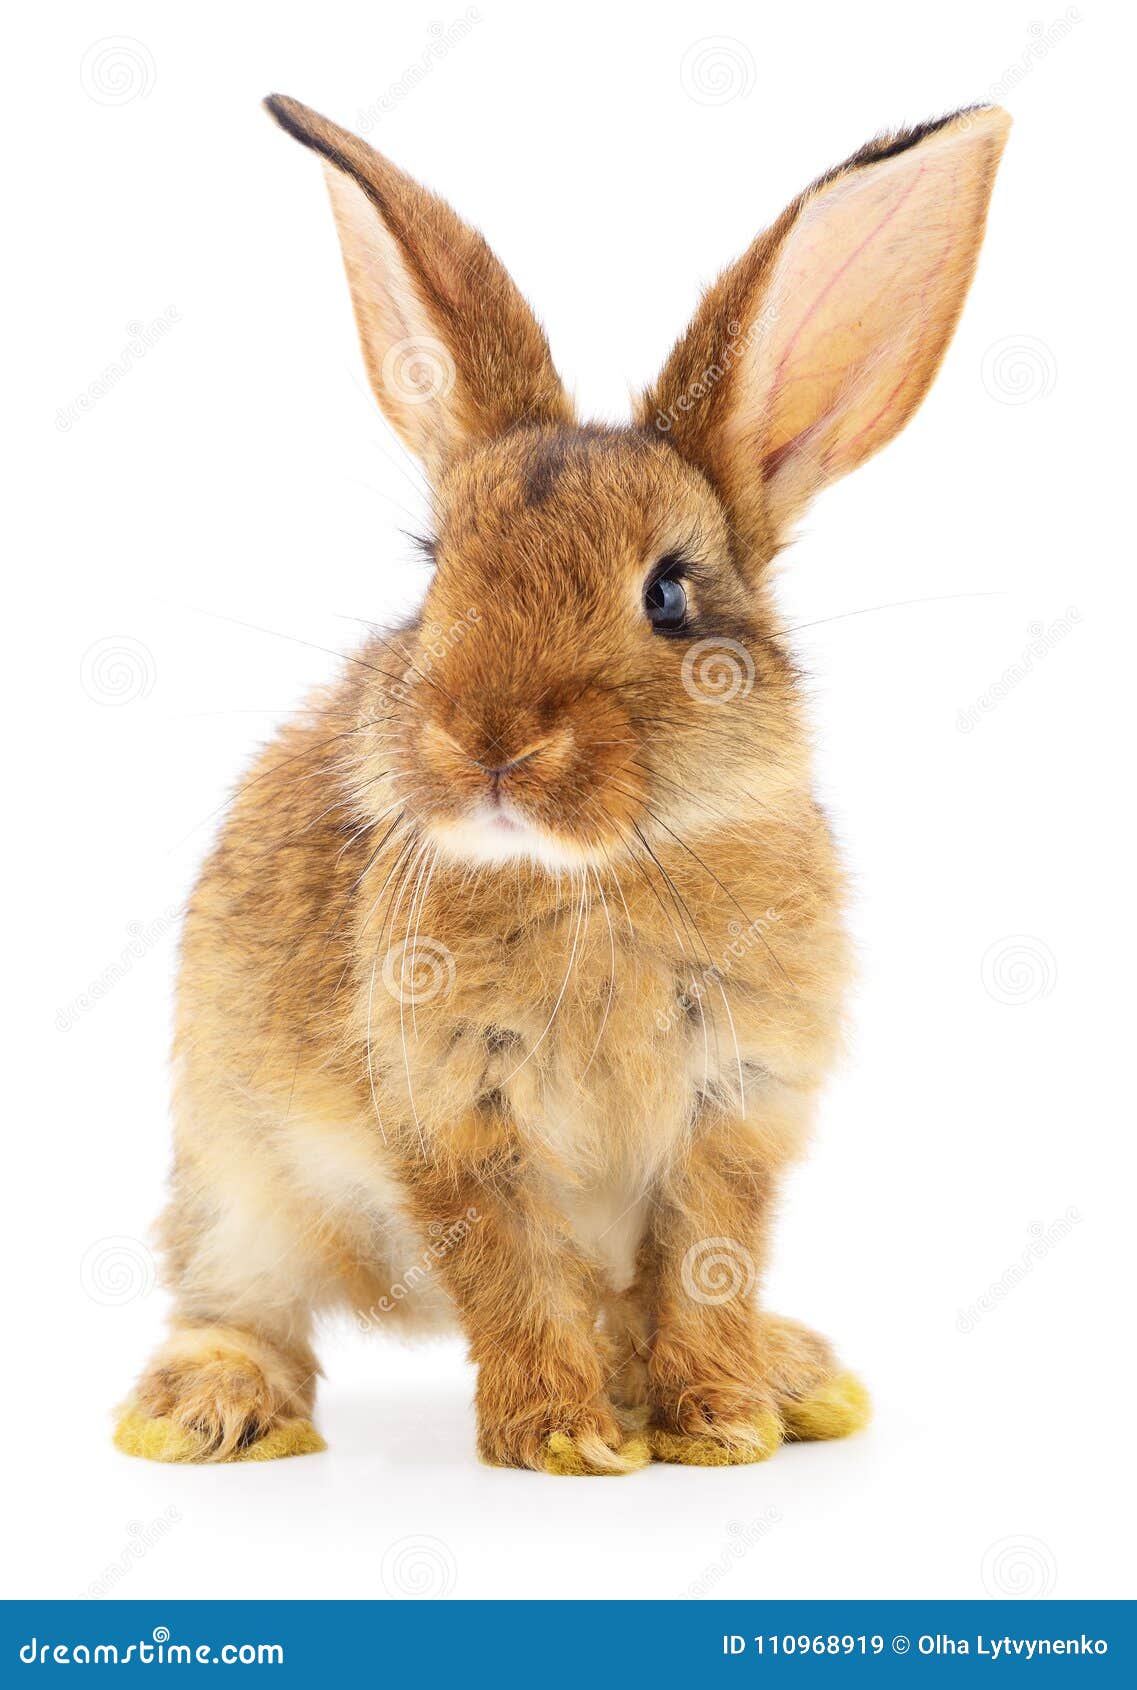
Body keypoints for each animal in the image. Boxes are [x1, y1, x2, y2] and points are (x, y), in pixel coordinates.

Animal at [115, 95, 1010, 1472]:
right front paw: (565, 1440)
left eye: (669, 593)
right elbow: (513, 1276)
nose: (488, 739)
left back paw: (795, 1379)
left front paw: (722, 1421)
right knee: (242, 1298)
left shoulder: (733, 1107)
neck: (599, 874)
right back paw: (212, 1407)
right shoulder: (453, 1117)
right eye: (437, 563)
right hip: (237, 1172)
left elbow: (703, 1267)